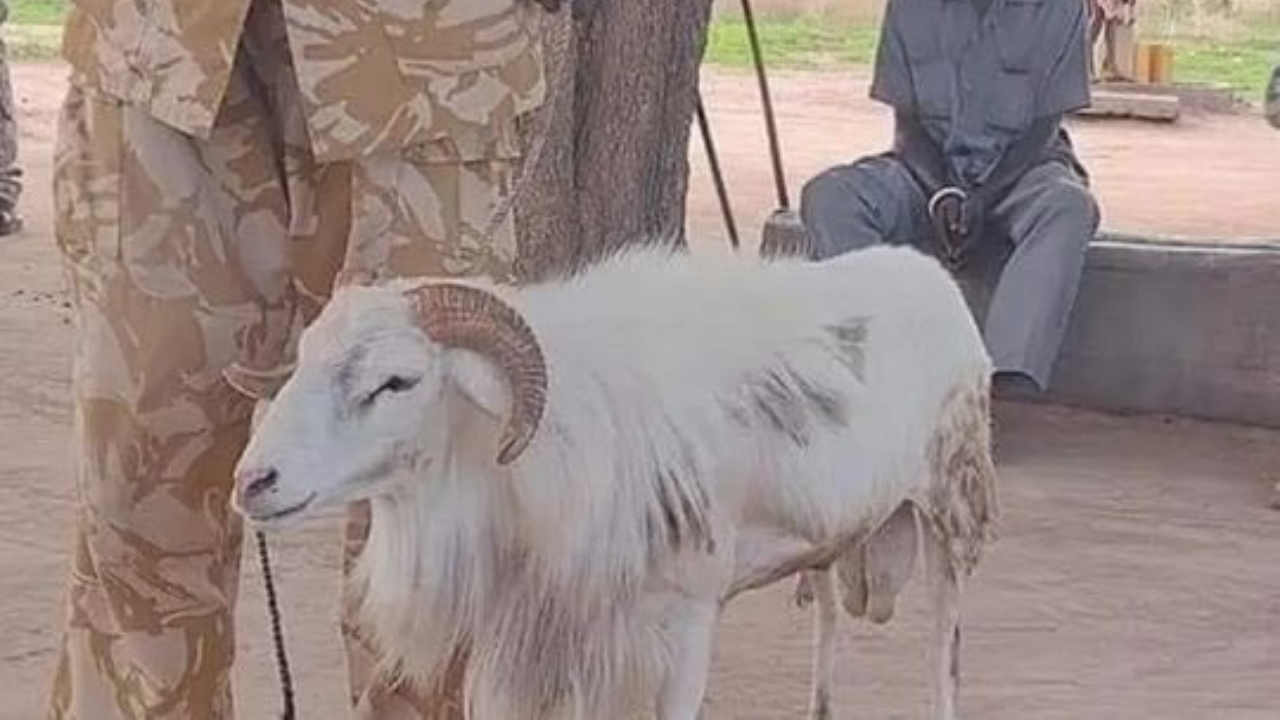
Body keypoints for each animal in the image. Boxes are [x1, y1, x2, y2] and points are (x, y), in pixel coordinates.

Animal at [225, 243, 999, 720]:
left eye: (397, 381)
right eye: (303, 359)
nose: (253, 481)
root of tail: (932, 274)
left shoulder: (688, 620)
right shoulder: (548, 637)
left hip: (952, 515)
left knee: (948, 652)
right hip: (835, 547)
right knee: (832, 622)